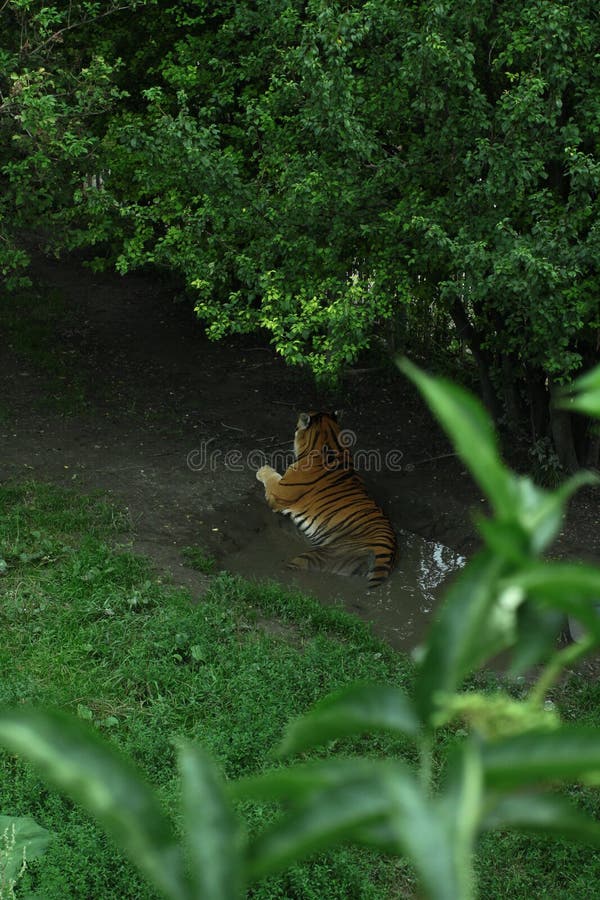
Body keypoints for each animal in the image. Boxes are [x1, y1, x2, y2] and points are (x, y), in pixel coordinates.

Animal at [256, 411, 398, 588]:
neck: (331, 444)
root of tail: (387, 550)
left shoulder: (279, 493)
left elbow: (271, 477)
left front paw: (263, 469)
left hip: (323, 555)